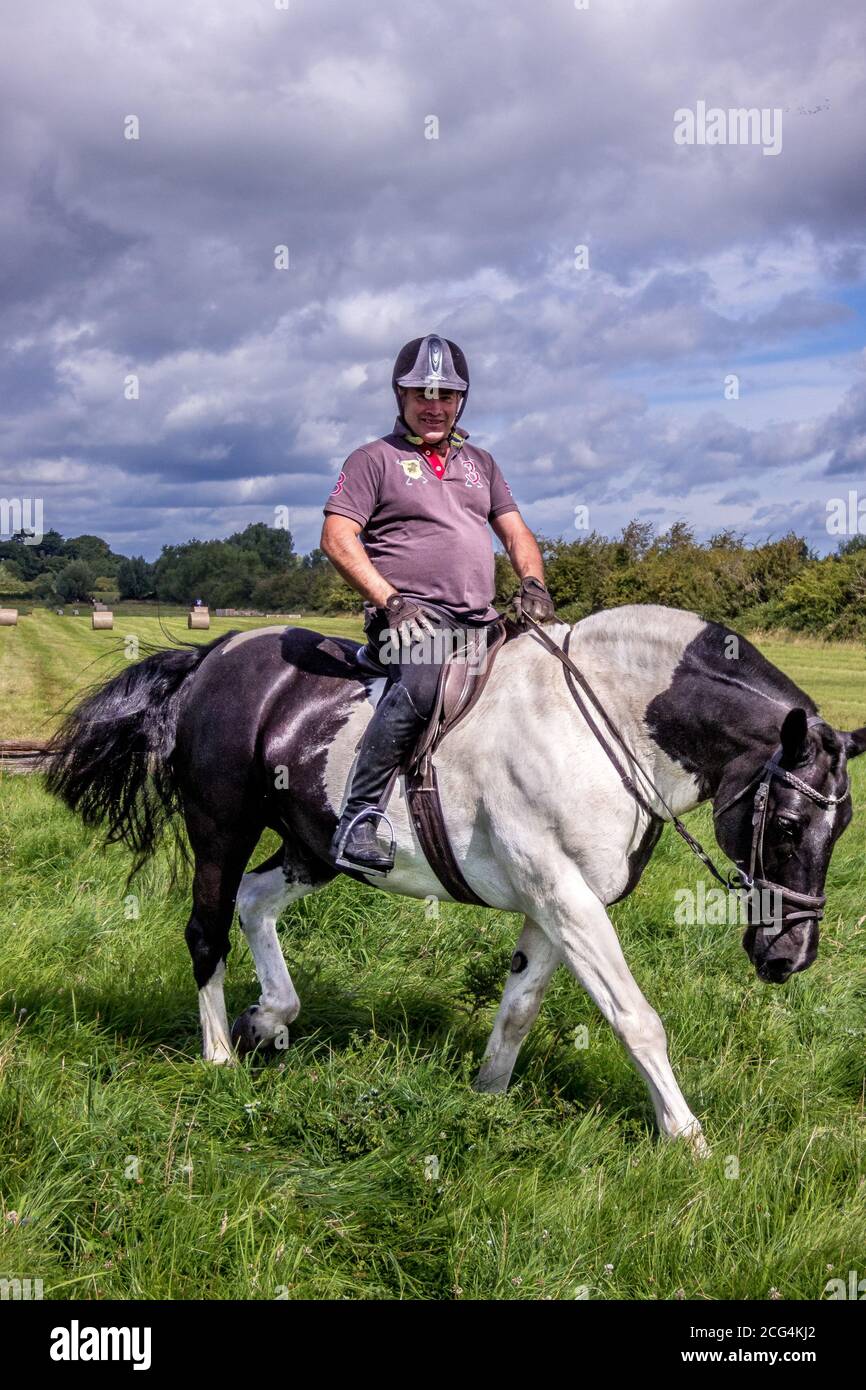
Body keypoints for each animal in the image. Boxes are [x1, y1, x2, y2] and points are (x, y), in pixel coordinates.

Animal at [45, 604, 865, 1157]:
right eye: (788, 827)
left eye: (842, 829)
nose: (790, 957)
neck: (610, 723)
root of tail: (216, 652)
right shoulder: (567, 900)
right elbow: (636, 1019)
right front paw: (687, 1139)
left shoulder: (552, 904)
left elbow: (519, 1009)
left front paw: (486, 1104)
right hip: (221, 826)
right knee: (207, 930)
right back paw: (218, 1056)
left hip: (316, 846)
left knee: (254, 901)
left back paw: (269, 1017)